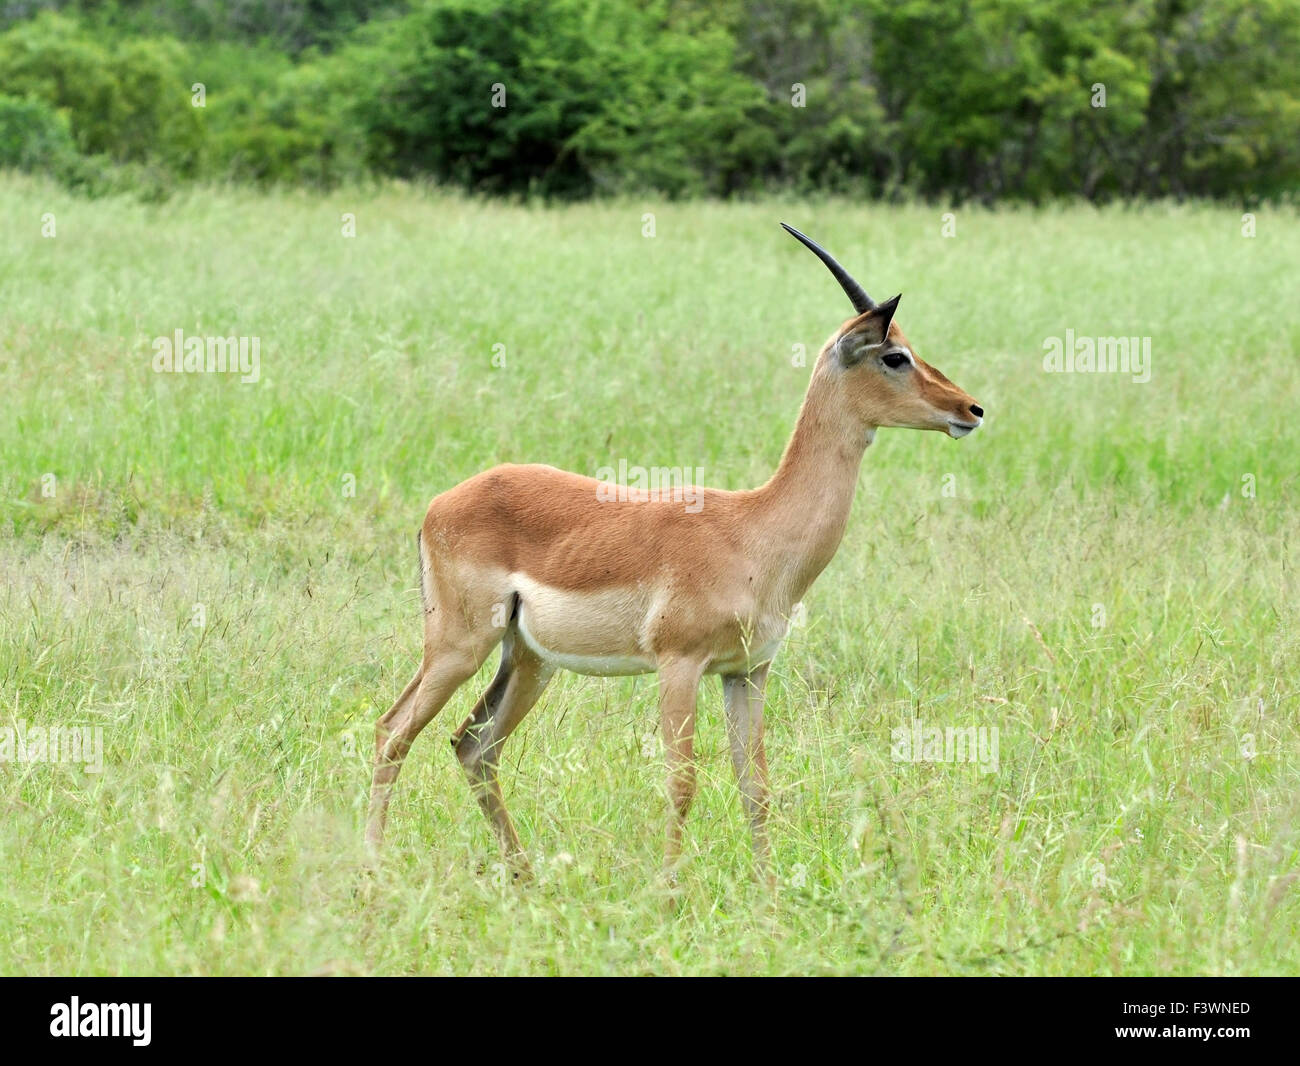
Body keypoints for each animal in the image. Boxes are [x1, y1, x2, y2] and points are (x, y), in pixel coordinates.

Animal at [365, 224, 984, 882]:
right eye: (894, 356)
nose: (970, 409)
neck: (755, 531)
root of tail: (442, 502)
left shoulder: (747, 671)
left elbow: (755, 787)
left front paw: (767, 893)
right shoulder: (678, 664)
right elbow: (681, 783)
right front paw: (667, 891)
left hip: (529, 659)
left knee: (474, 746)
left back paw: (526, 878)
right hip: (458, 645)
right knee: (392, 731)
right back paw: (372, 872)